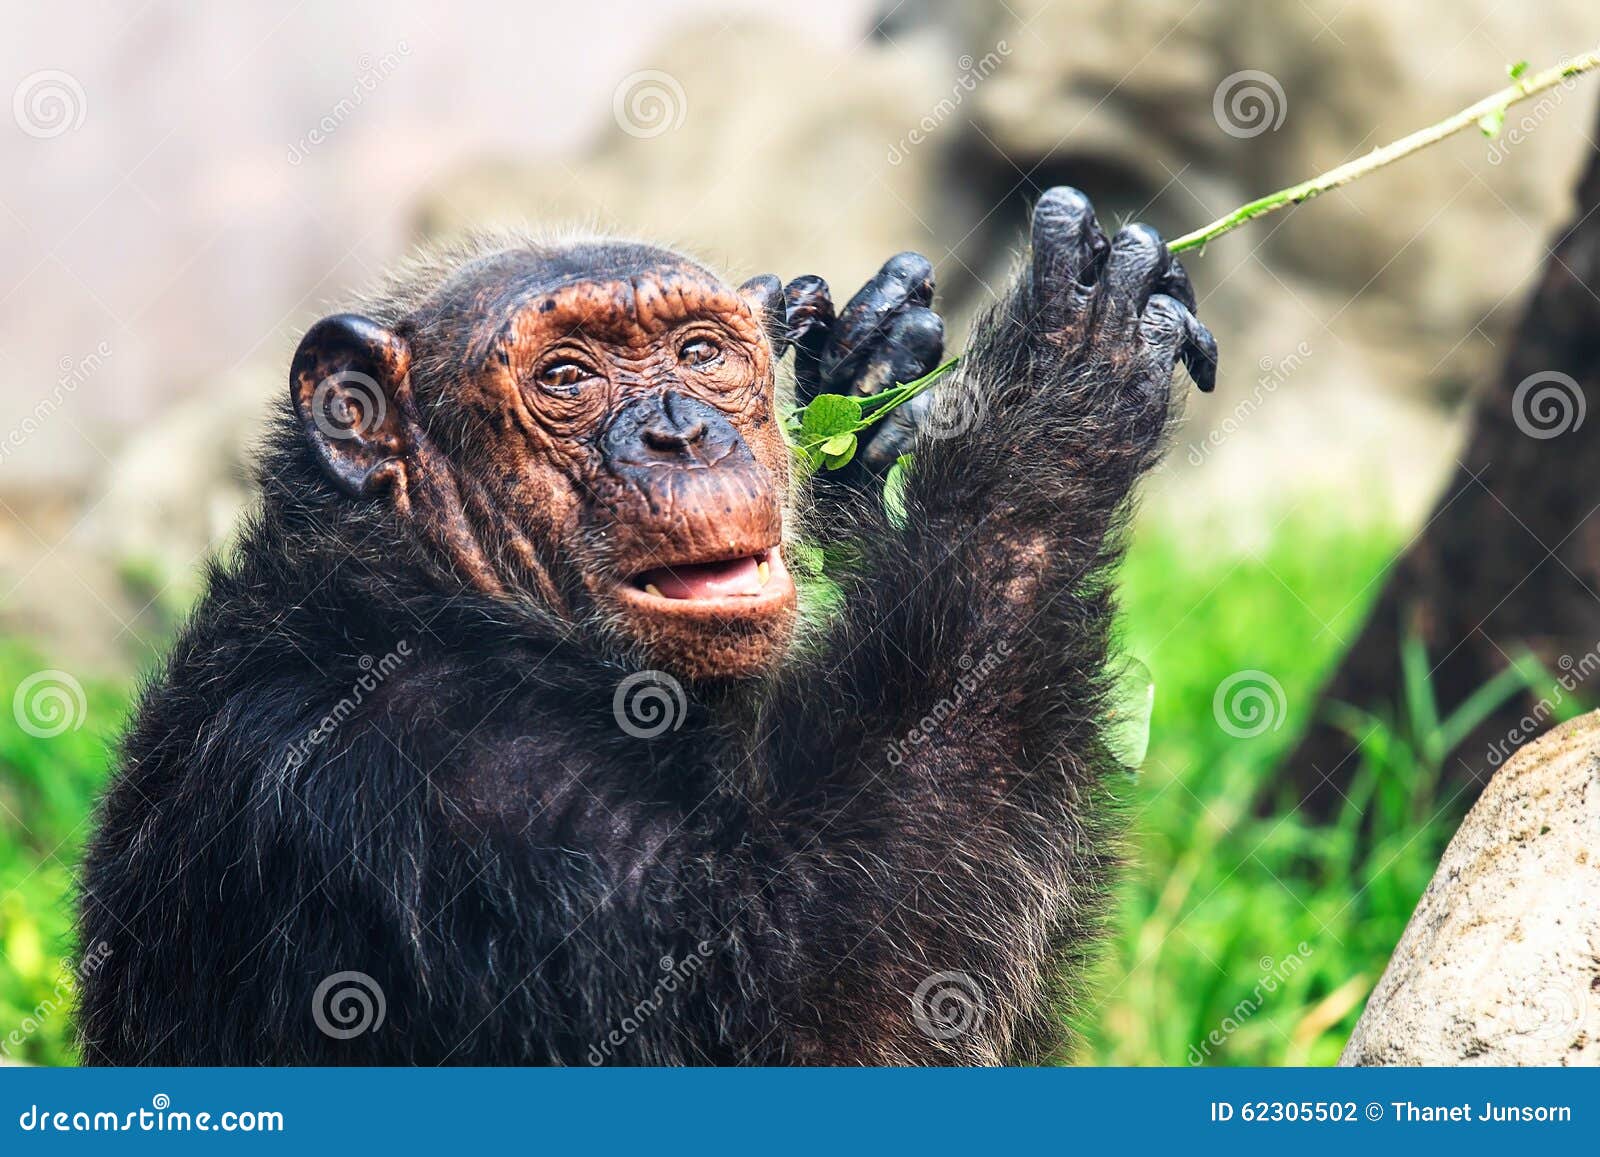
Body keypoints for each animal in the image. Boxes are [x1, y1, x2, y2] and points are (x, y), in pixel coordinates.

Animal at [76, 186, 1215, 1065]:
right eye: (566, 376)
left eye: (703, 352)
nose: (683, 432)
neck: (426, 587)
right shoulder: (469, 779)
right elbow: (825, 1008)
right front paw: (1059, 389)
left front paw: (859, 375)